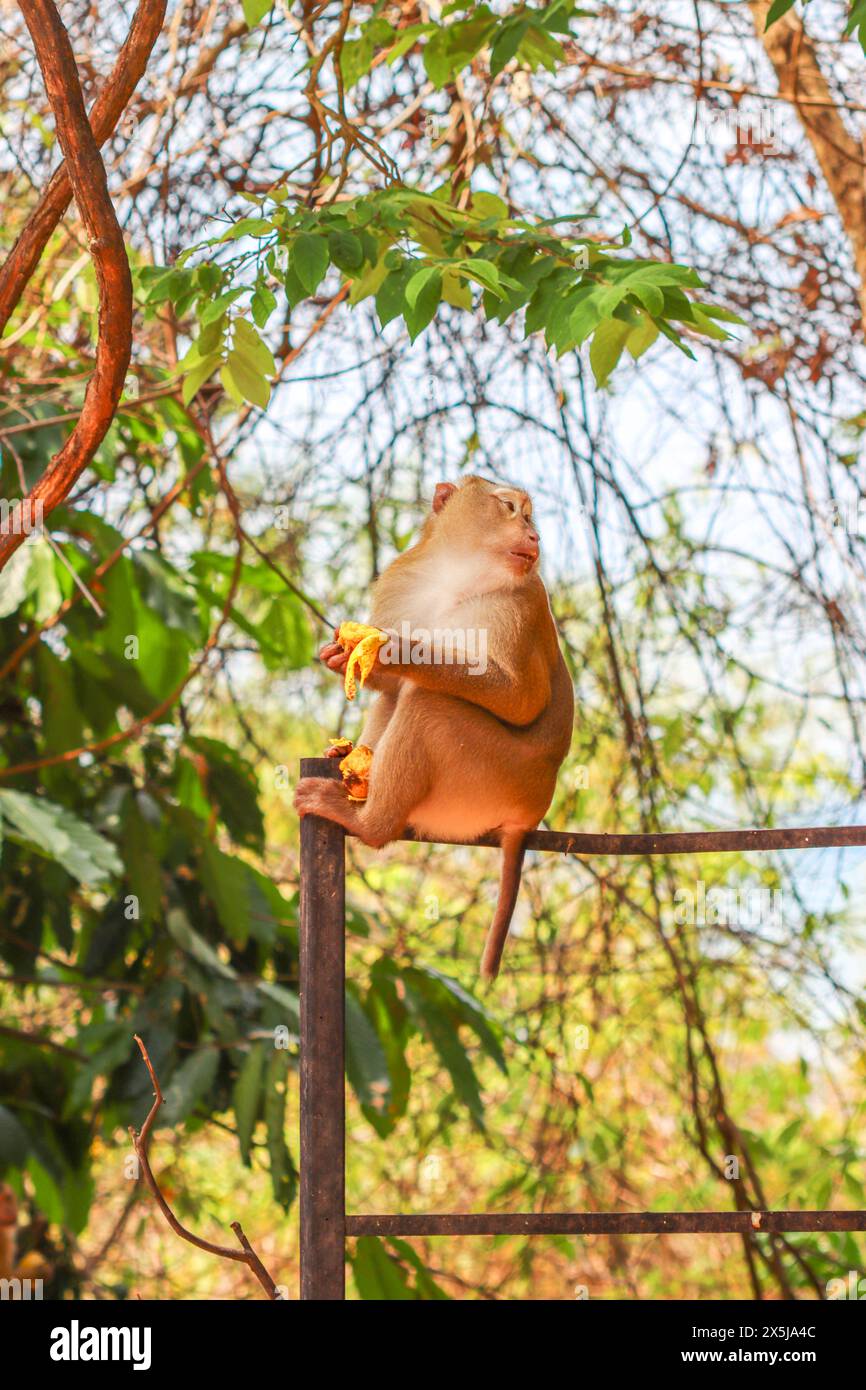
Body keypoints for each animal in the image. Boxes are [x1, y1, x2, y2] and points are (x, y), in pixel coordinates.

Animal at [294, 475, 574, 980]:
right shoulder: (402, 578)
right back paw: (352, 767)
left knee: (427, 703)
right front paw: (337, 656)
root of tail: (529, 813)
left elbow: (521, 700)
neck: (457, 576)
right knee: (397, 699)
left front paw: (395, 650)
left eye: (525, 513)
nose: (535, 536)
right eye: (511, 508)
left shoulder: (521, 602)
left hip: (484, 782)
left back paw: (368, 821)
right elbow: (384, 686)